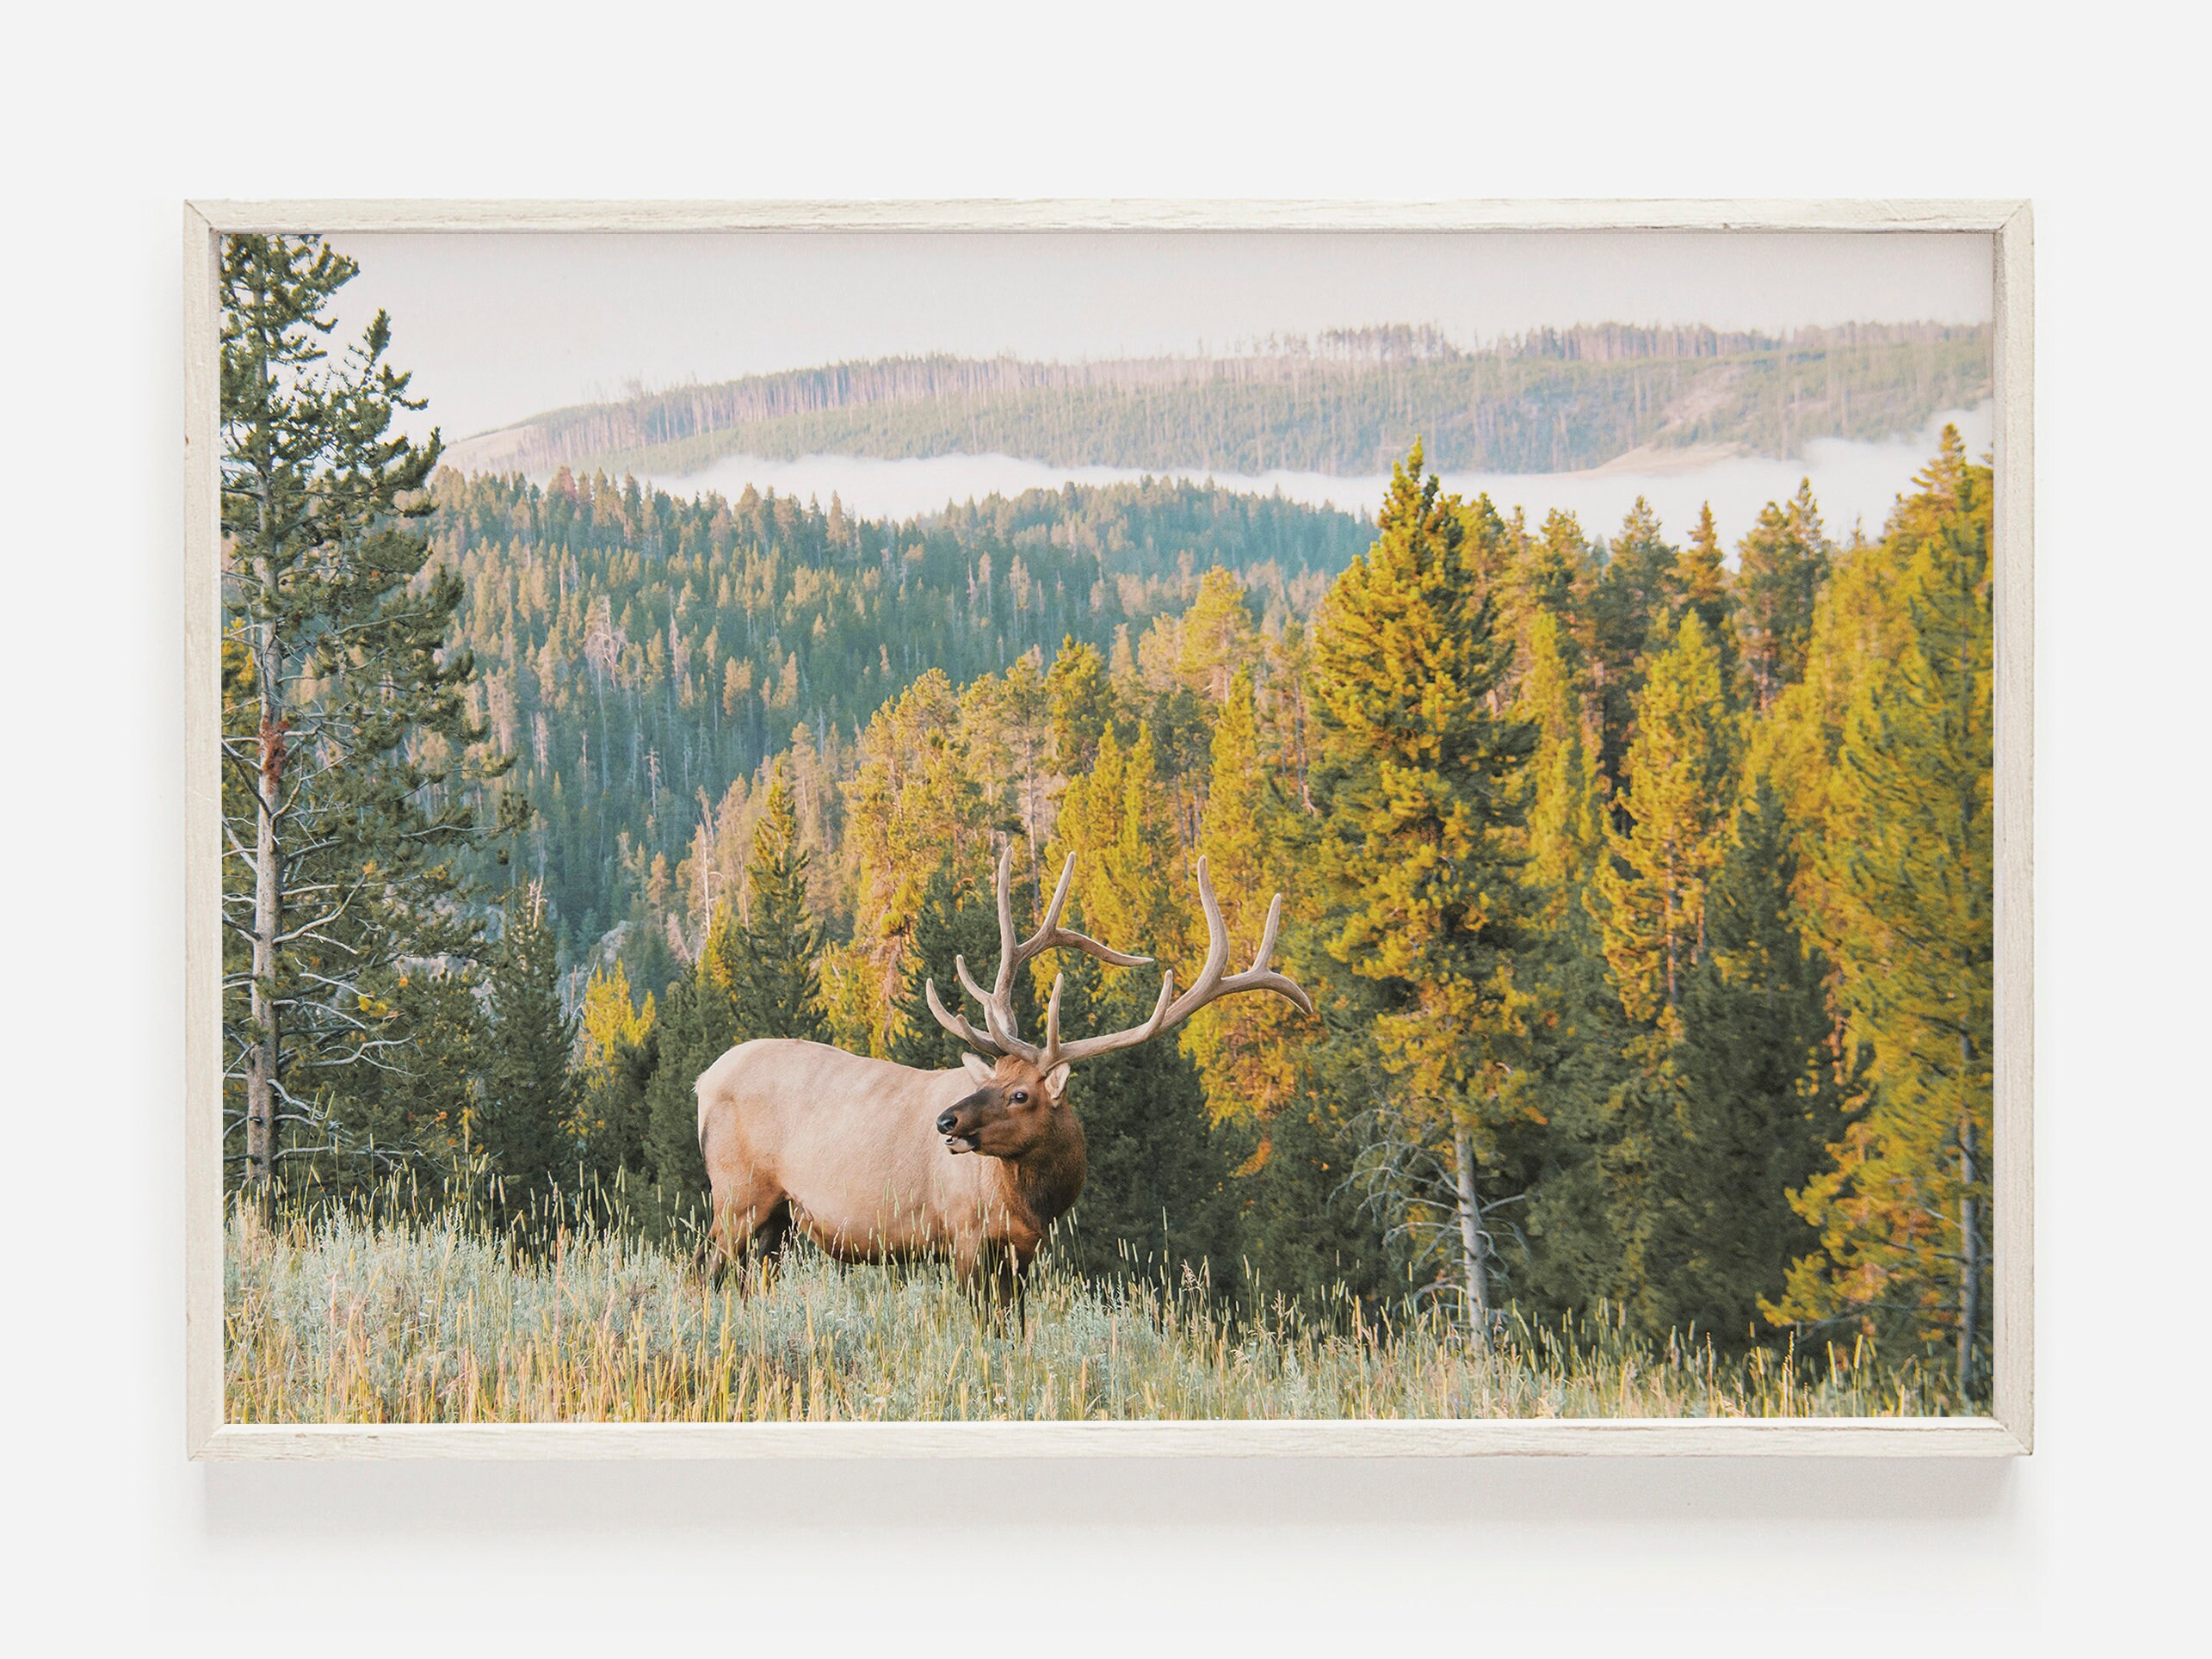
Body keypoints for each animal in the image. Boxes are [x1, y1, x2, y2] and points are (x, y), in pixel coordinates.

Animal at [693, 844, 1314, 1308]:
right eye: (986, 1082)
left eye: (1018, 1093)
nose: (945, 1122)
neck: (1035, 1201)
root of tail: (702, 1081)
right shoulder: (964, 1234)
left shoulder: (1023, 1251)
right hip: (737, 1192)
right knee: (707, 1270)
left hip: (778, 1218)